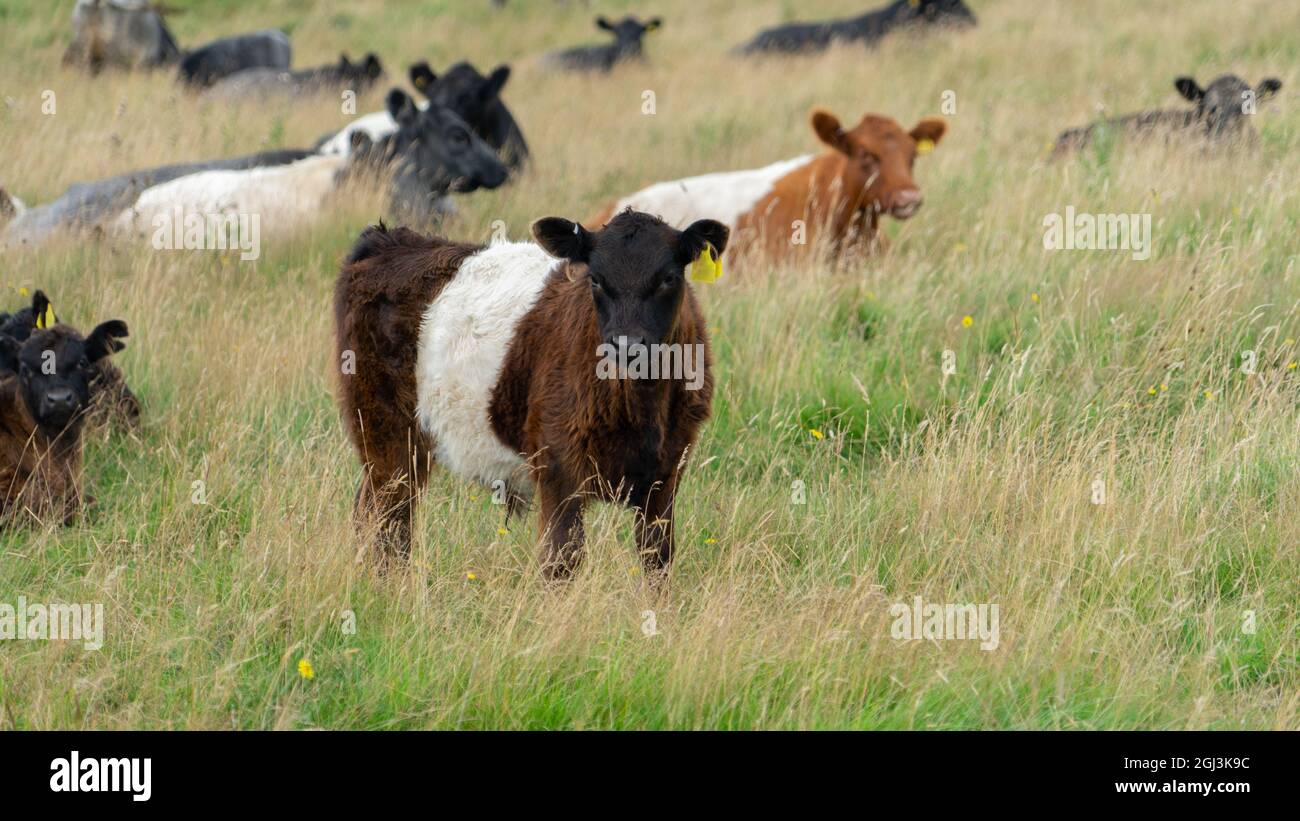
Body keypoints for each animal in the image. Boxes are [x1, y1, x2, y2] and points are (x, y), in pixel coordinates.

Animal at [333, 209, 726, 581]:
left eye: (668, 279)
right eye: (596, 279)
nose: (626, 346)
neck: (640, 405)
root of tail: (390, 239)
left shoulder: (667, 473)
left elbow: (657, 559)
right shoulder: (558, 470)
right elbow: (562, 560)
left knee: (369, 510)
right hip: (387, 435)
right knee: (389, 519)